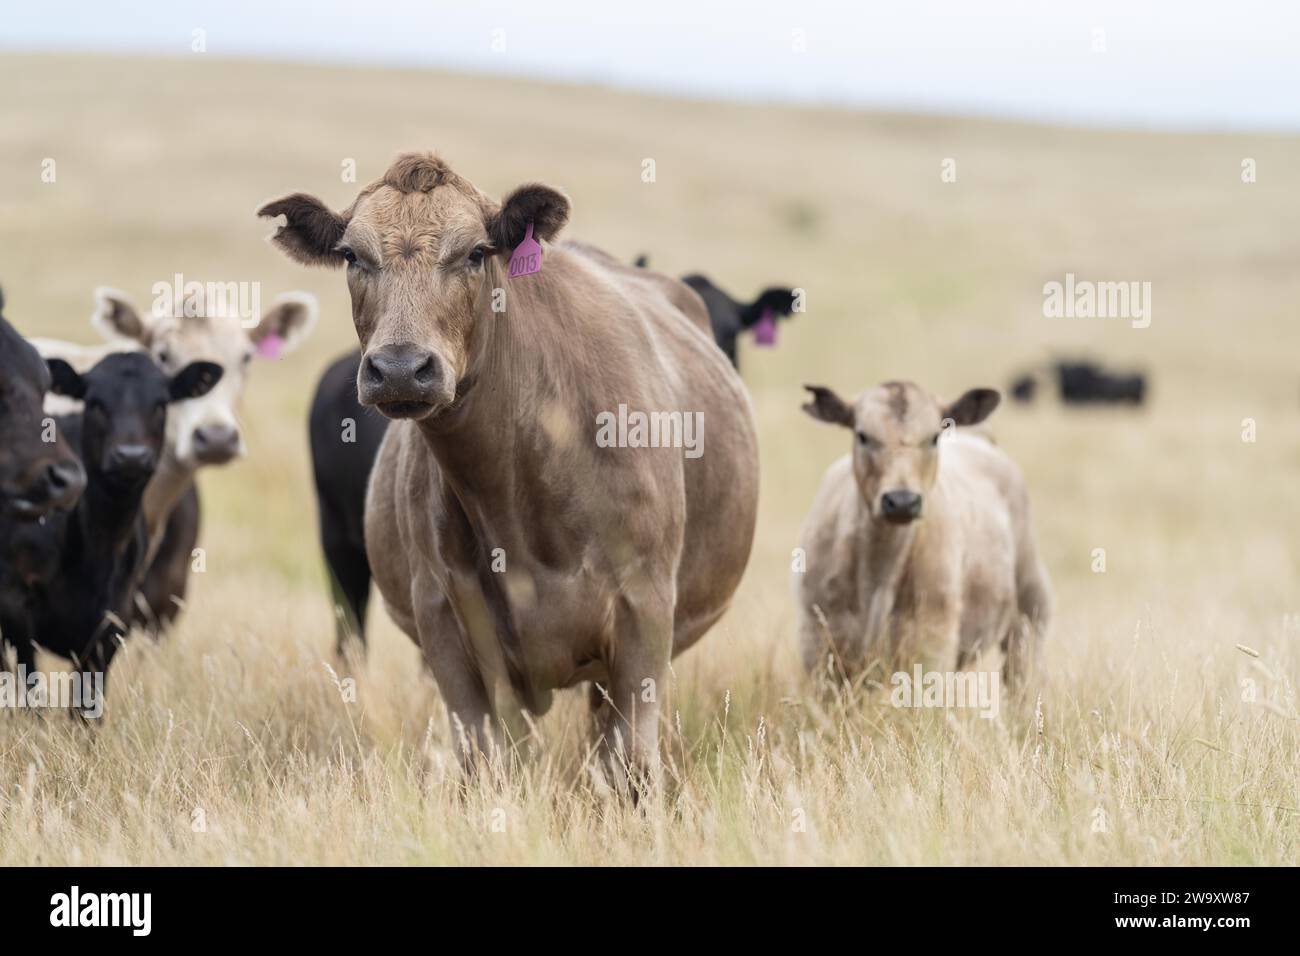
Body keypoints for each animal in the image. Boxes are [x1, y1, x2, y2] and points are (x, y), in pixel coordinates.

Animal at [0, 352, 221, 706]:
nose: (130, 457)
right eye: (95, 403)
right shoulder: (13, 606)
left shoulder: (114, 622)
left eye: (160, 404)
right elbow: (29, 691)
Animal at [259, 151, 760, 788]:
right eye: (351, 255)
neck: (515, 492)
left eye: (475, 252)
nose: (399, 367)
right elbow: (484, 758)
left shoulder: (644, 612)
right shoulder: (444, 623)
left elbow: (631, 764)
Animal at [794, 380, 1051, 689]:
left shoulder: (930, 646)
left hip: (1029, 617)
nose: (902, 501)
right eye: (863, 436)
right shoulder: (818, 646)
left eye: (933, 438)